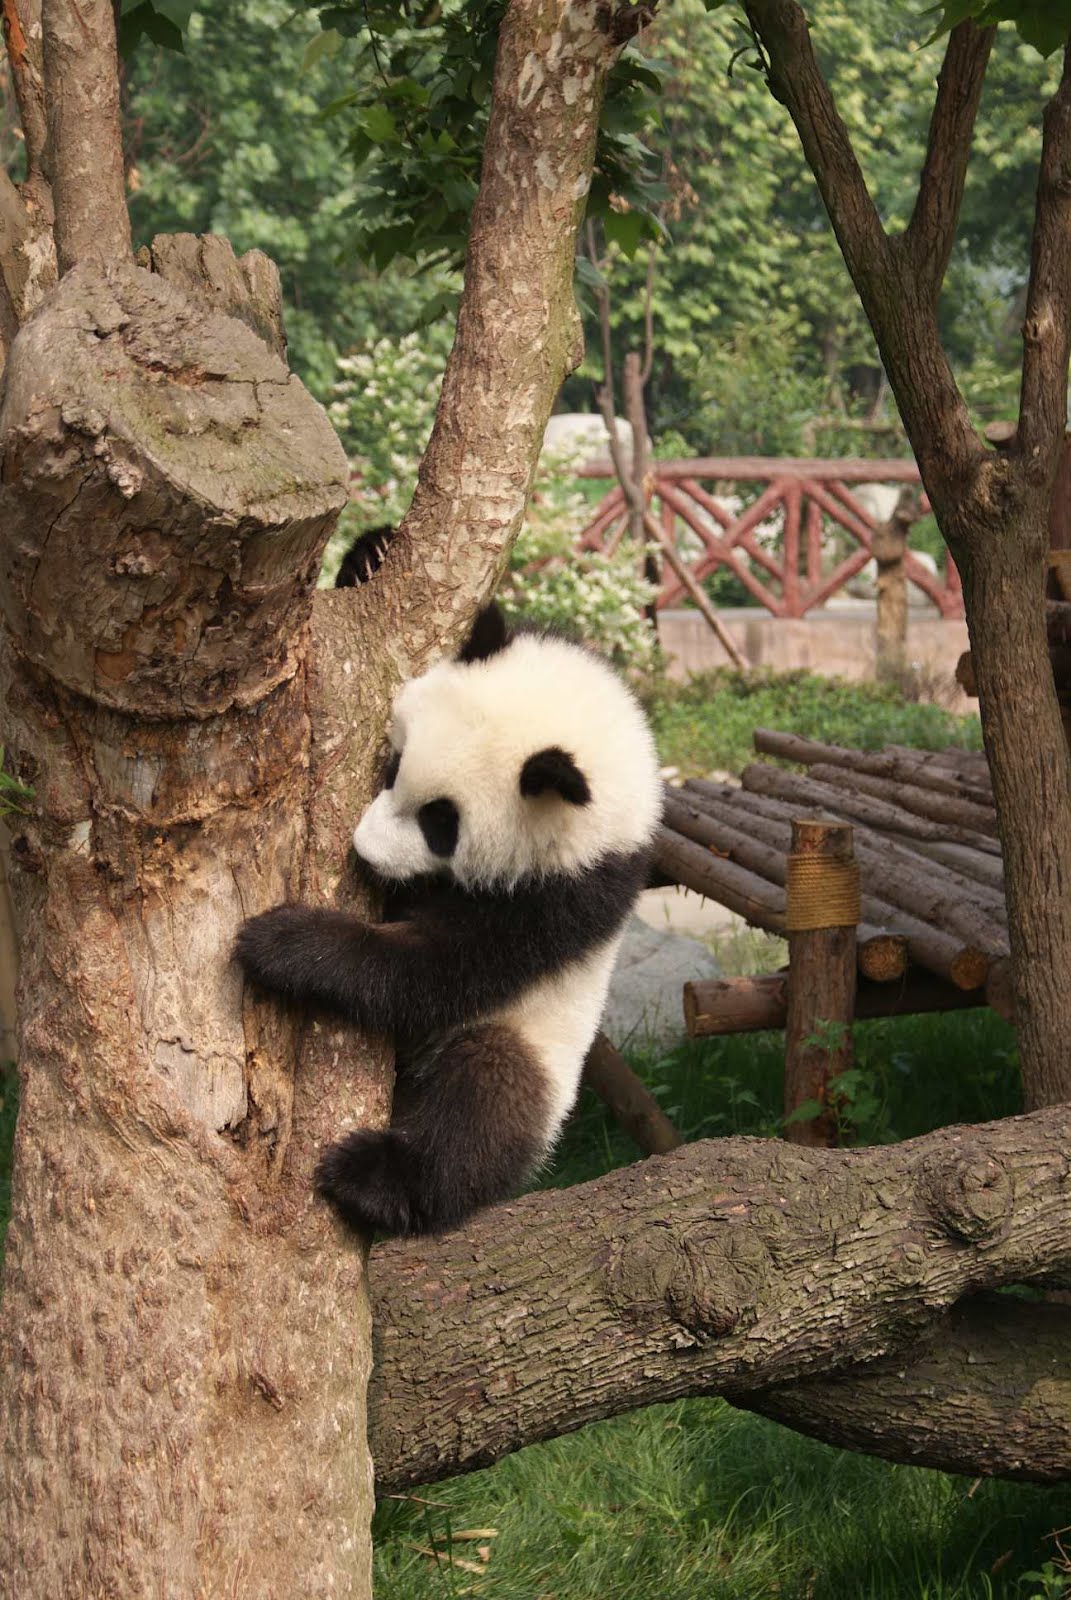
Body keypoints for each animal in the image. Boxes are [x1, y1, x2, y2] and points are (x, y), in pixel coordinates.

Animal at [234, 602, 663, 1238]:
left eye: (442, 825)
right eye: (393, 769)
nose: (365, 853)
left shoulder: (560, 902)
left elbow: (432, 972)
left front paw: (282, 943)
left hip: (534, 1046)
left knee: (482, 1100)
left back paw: (377, 1179)